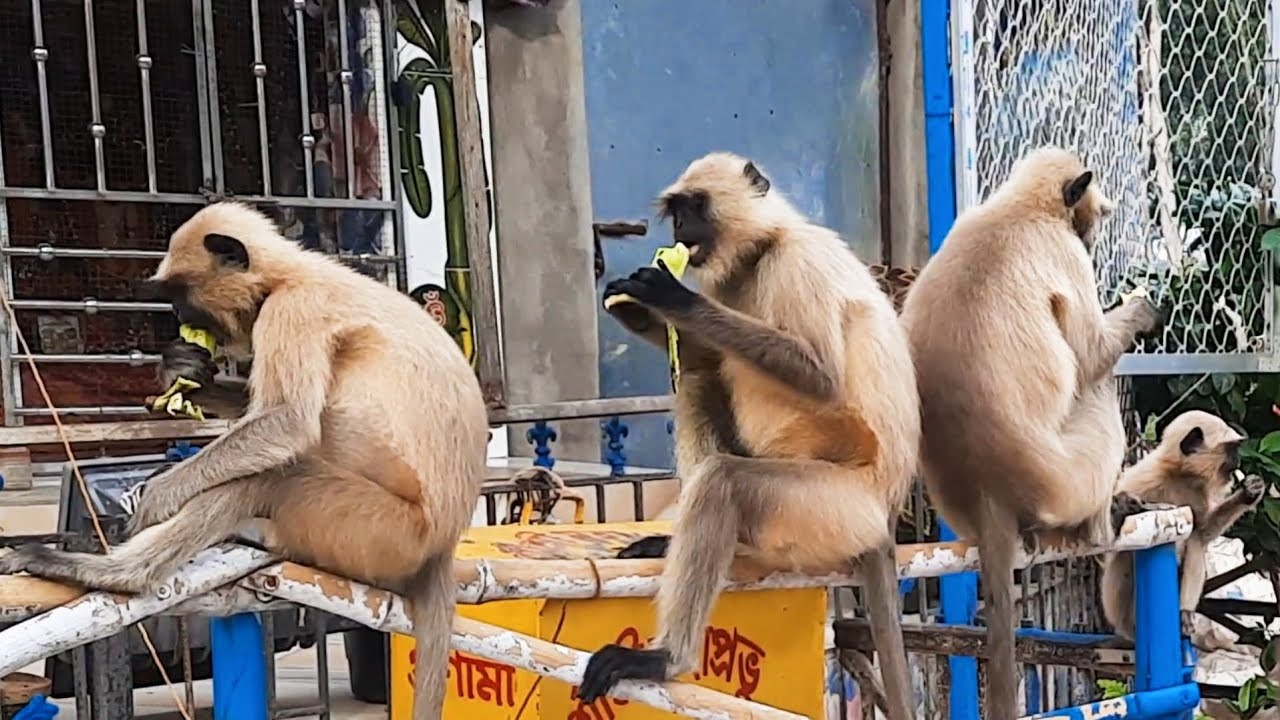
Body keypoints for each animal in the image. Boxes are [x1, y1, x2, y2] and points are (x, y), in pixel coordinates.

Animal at [0, 201, 488, 720]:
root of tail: (440, 545)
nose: (176, 316)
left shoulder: (291, 310)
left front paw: (159, 495)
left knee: (271, 476)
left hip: (384, 531)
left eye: (180, 295)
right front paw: (186, 373)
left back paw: (119, 573)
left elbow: (288, 422)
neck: (292, 273)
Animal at [578, 152, 919, 720]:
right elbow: (702, 357)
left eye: (695, 207)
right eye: (677, 212)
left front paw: (670, 297)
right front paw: (633, 307)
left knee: (724, 480)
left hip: (835, 512)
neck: (763, 249)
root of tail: (886, 518)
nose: (679, 229)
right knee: (701, 378)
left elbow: (820, 377)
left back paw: (666, 659)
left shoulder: (798, 264)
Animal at [897, 146, 1166, 720]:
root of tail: (988, 490)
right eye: (1096, 213)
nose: (1092, 231)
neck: (1018, 207)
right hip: (1069, 476)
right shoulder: (1066, 255)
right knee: (1096, 386)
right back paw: (1104, 516)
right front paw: (1139, 308)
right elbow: (1089, 355)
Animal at [1101, 410, 1265, 647]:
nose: (1239, 460)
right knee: (1127, 556)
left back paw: (1184, 614)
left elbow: (1201, 534)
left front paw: (1249, 492)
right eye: (1232, 449)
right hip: (1119, 612)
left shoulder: (1197, 493)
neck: (1177, 474)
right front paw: (1120, 508)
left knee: (1193, 543)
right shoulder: (1142, 480)